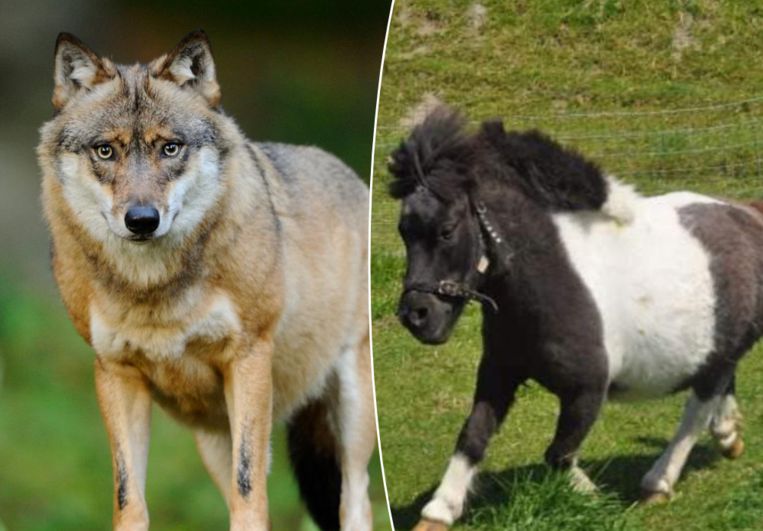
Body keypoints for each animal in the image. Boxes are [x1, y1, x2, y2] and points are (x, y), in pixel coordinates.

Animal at [37, 31, 375, 531]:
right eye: (106, 151)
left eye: (170, 148)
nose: (142, 220)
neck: (152, 290)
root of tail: (352, 175)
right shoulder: (114, 373)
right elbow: (129, 498)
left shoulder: (249, 357)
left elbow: (249, 491)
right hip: (212, 436)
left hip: (352, 409)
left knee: (355, 498)